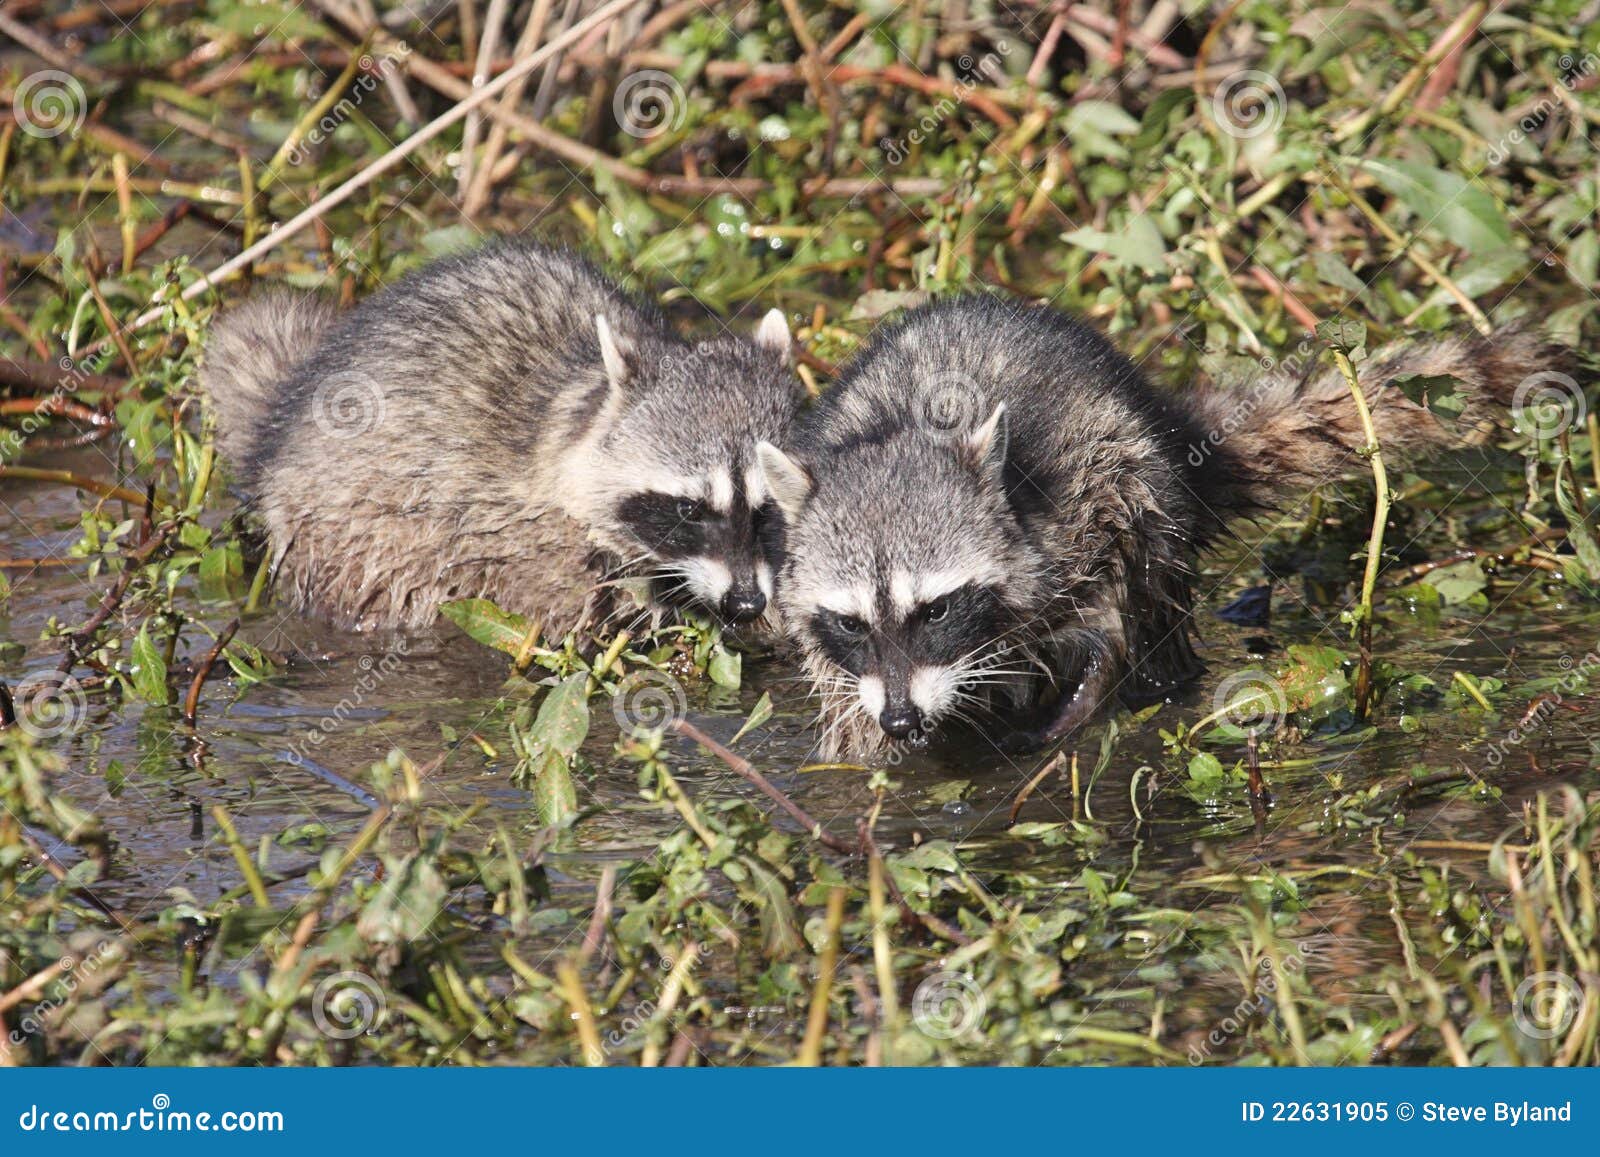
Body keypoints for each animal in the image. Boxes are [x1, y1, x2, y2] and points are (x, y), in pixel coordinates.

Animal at [759, 295, 1560, 758]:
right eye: (852, 621)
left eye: (937, 609)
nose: (901, 719)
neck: (902, 434)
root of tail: (1169, 422)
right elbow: (847, 706)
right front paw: (871, 759)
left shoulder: (1076, 507)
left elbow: (1103, 618)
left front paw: (1081, 698)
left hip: (1135, 464)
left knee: (1150, 581)